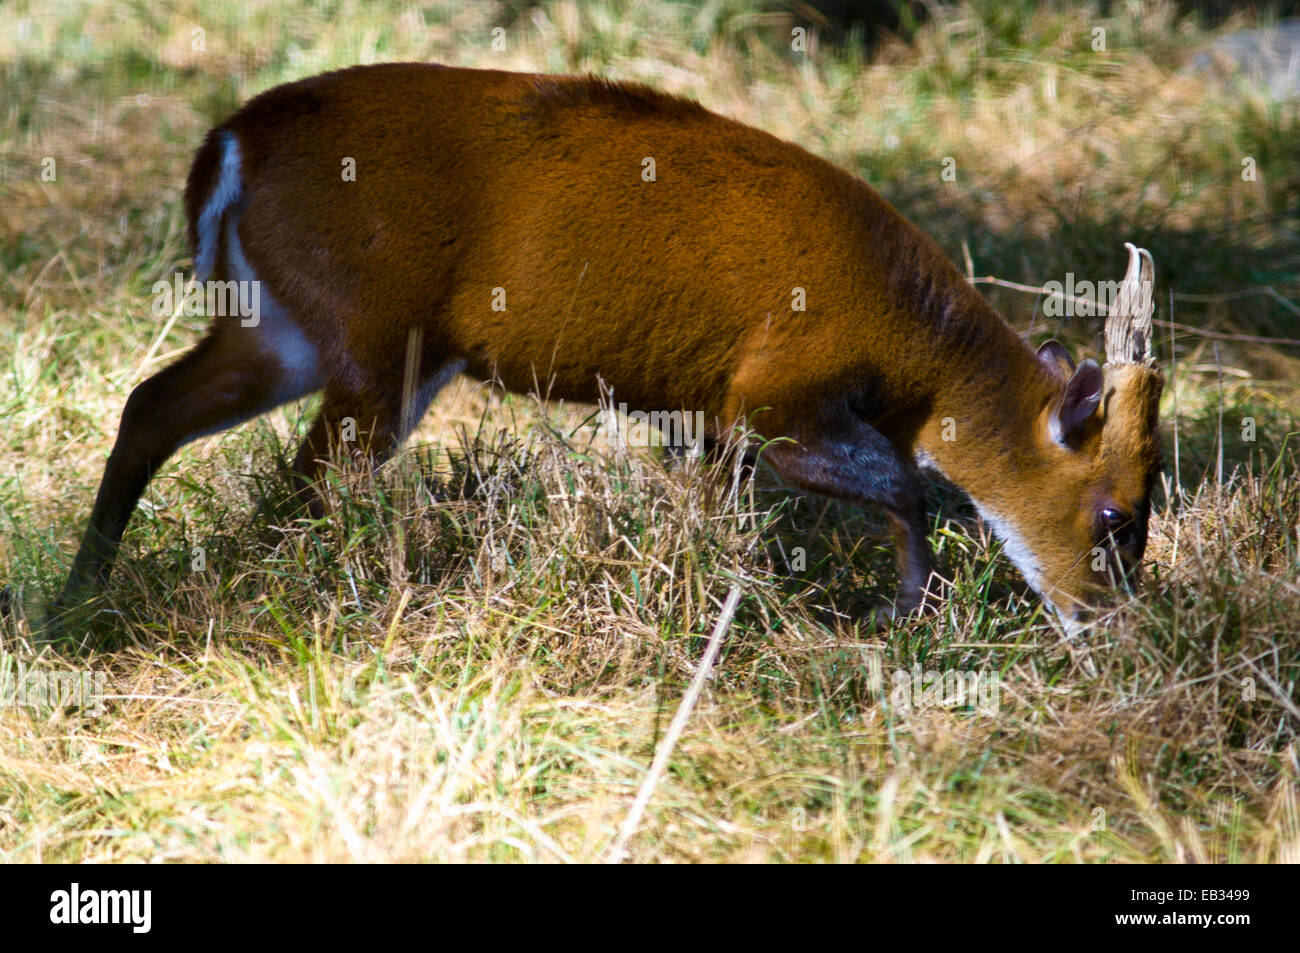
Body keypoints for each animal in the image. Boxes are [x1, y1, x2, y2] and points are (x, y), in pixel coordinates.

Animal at [50, 63, 1163, 642]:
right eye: (1118, 514)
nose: (1111, 624)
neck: (908, 352)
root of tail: (226, 146)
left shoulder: (711, 412)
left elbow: (721, 507)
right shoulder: (771, 390)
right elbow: (906, 486)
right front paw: (898, 615)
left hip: (285, 326)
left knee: (157, 406)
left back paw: (79, 595)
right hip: (375, 340)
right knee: (308, 475)